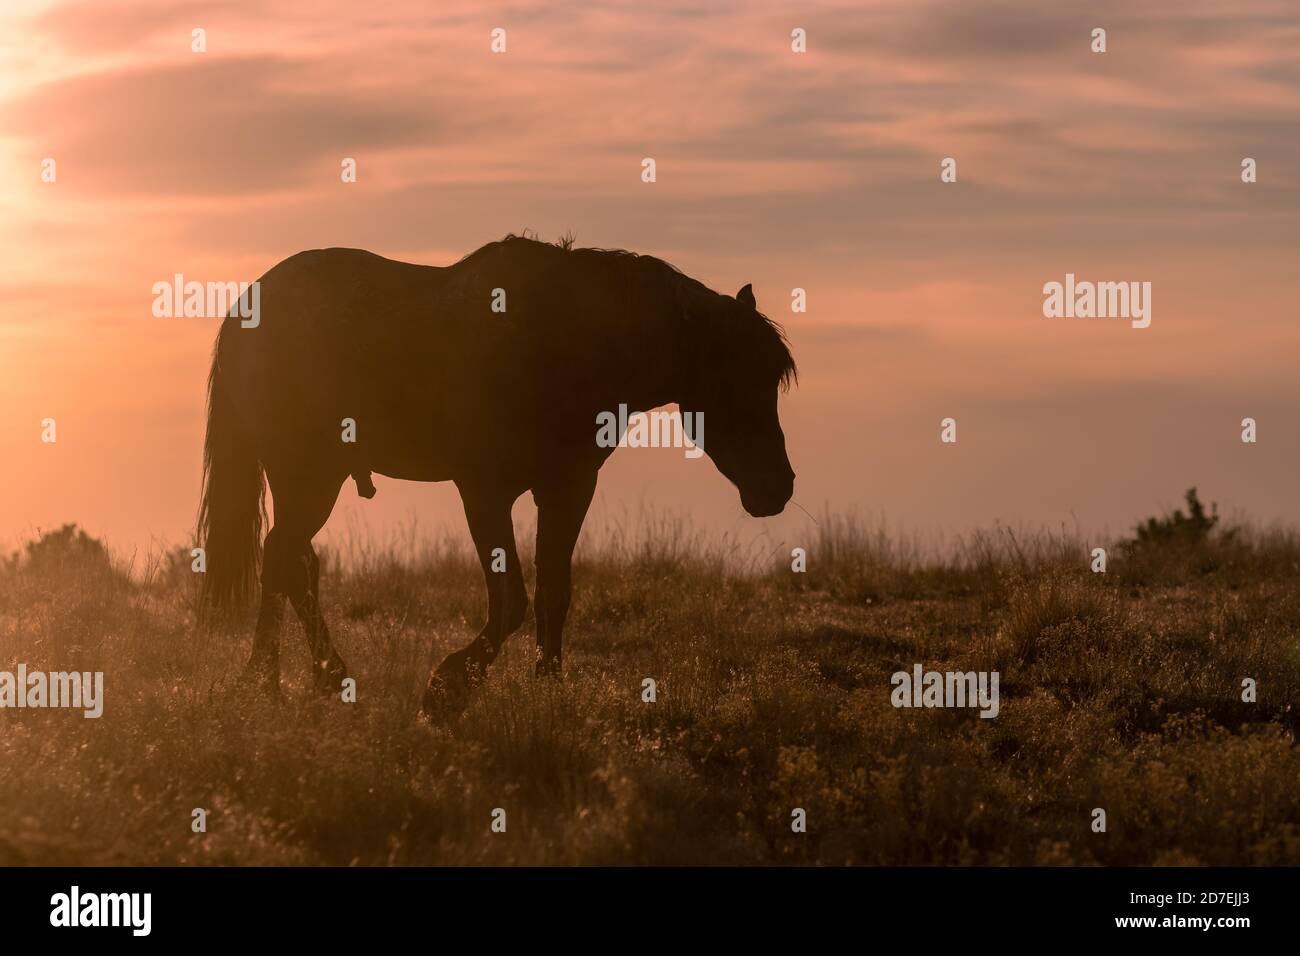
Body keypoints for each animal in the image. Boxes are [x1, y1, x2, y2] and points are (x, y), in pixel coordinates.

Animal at [197, 235, 797, 718]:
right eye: (733, 373)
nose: (778, 487)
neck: (560, 342)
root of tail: (248, 307)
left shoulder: (568, 488)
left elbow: (554, 593)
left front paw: (549, 690)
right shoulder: (484, 491)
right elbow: (509, 601)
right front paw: (447, 690)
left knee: (293, 563)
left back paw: (310, 678)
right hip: (307, 474)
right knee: (283, 559)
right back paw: (273, 681)